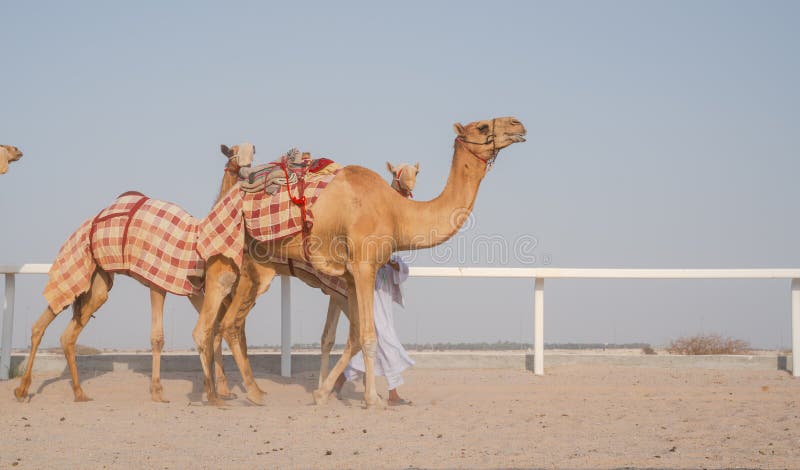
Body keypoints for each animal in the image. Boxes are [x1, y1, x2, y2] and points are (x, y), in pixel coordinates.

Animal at [14, 143, 254, 403]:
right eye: (232, 153)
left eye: (254, 152)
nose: (247, 169)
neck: (196, 238)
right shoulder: (159, 282)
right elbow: (159, 337)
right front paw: (158, 392)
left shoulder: (194, 290)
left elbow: (212, 331)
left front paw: (221, 391)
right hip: (75, 265)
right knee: (43, 321)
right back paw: (22, 389)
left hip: (98, 283)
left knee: (68, 334)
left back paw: (79, 393)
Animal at [192, 117, 526, 407]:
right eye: (481, 126)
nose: (518, 124)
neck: (396, 212)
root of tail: (221, 202)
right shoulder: (364, 266)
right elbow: (367, 336)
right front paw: (371, 401)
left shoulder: (350, 277)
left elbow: (351, 338)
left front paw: (323, 394)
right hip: (237, 260)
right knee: (214, 326)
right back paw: (225, 396)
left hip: (250, 266)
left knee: (223, 325)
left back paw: (238, 393)